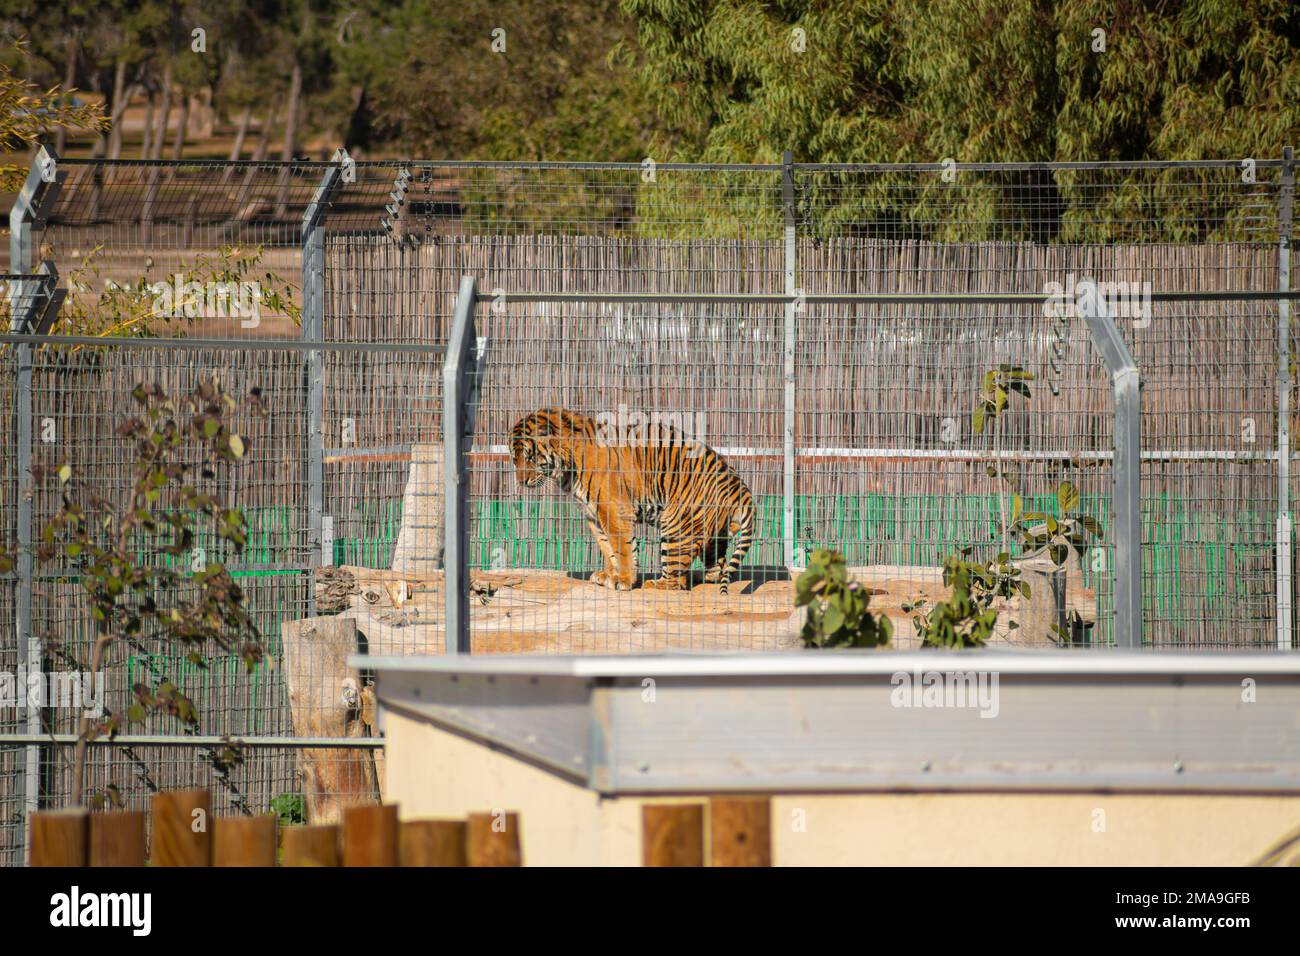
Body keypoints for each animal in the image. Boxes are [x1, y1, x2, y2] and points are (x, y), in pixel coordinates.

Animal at [510, 407, 755, 594]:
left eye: (530, 458)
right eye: (515, 460)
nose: (521, 481)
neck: (567, 468)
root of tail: (739, 484)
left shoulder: (613, 510)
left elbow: (622, 548)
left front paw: (624, 580)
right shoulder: (594, 516)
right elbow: (607, 548)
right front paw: (608, 575)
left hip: (676, 525)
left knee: (677, 579)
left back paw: (655, 584)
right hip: (711, 531)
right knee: (716, 566)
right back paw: (701, 576)